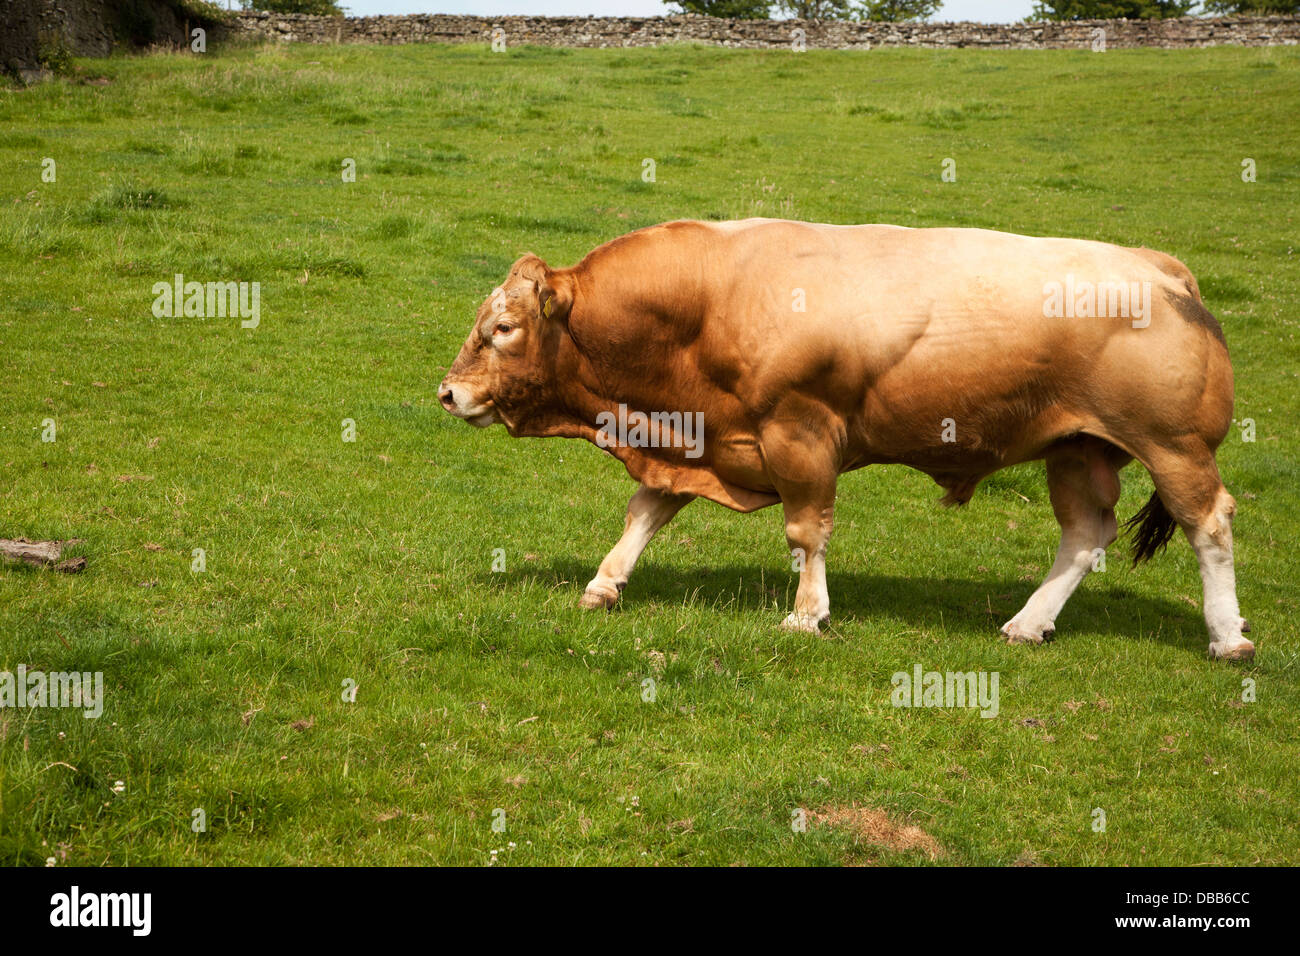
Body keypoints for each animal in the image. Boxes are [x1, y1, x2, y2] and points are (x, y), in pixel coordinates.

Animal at [439, 219, 1254, 661]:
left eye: (502, 328)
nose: (448, 392)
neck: (709, 304)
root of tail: (1156, 265)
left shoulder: (799, 435)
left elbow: (807, 531)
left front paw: (807, 614)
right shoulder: (704, 440)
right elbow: (646, 511)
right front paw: (605, 583)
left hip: (1175, 445)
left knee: (1208, 524)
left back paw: (1228, 636)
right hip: (1077, 449)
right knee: (1086, 534)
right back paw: (1028, 623)